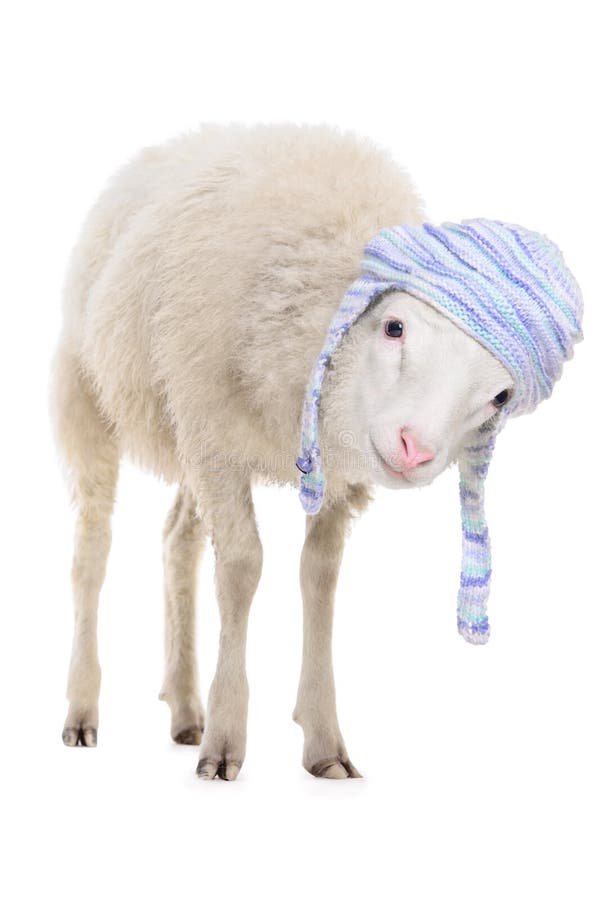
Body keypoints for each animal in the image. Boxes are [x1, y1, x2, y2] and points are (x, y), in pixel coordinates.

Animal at [52, 123, 523, 780]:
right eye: (394, 327)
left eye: (500, 396)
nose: (414, 450)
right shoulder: (217, 439)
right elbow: (242, 568)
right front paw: (226, 742)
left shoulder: (334, 471)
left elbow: (319, 576)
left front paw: (323, 743)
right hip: (91, 392)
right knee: (91, 550)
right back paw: (83, 711)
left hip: (186, 432)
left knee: (177, 541)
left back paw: (185, 709)